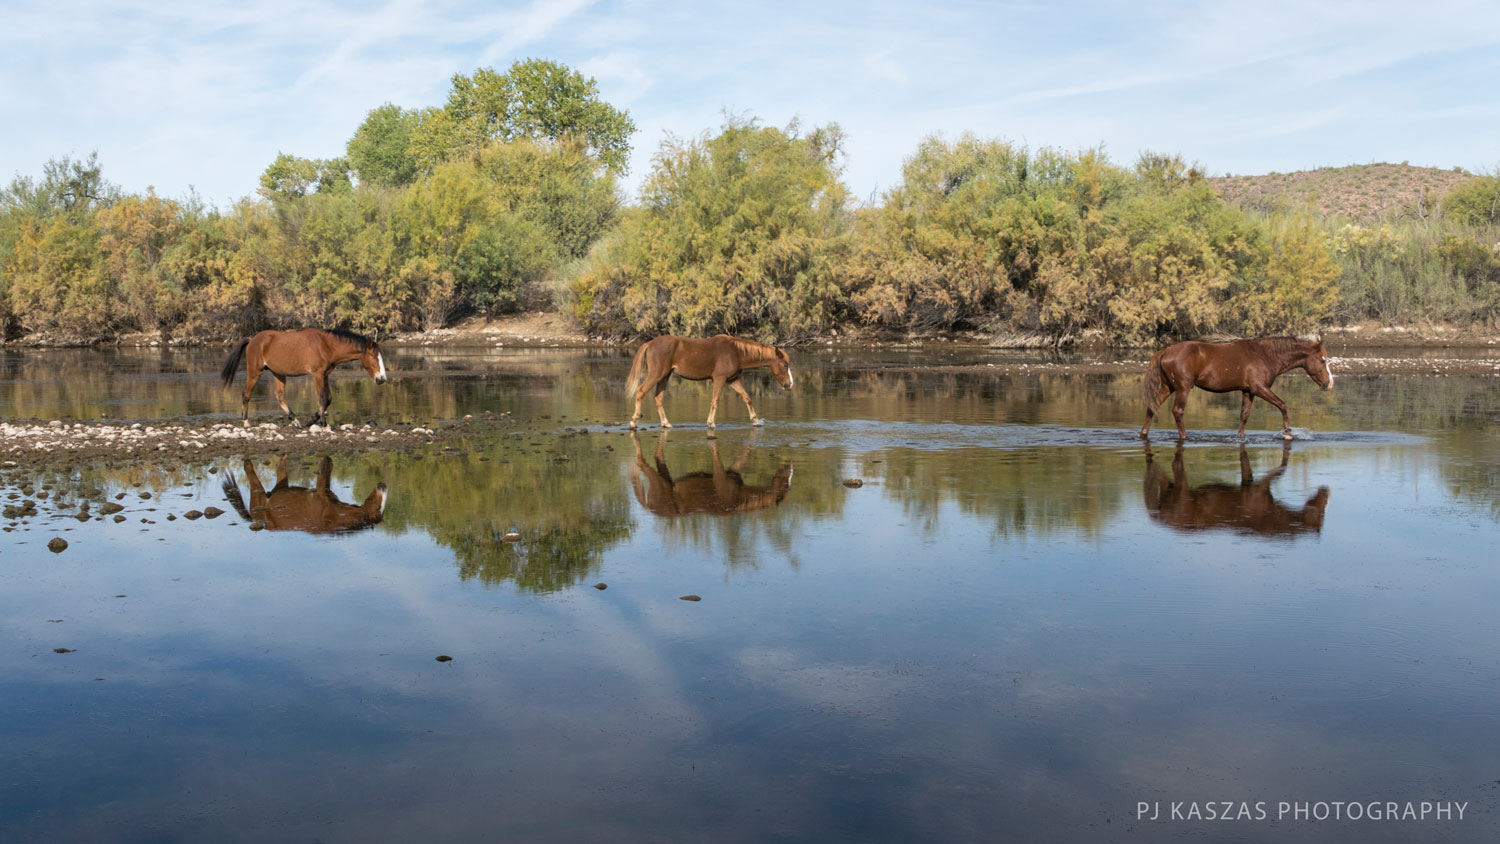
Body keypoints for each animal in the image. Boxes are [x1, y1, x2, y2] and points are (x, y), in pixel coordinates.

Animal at [220, 328, 387, 428]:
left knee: (280, 396)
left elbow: (328, 399)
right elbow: (322, 398)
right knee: (246, 394)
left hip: (278, 373)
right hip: (255, 372)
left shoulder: (325, 375)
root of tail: (252, 339)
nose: (382, 378)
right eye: (374, 357)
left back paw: (295, 420)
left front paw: (312, 419)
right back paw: (246, 422)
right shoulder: (317, 375)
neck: (325, 345)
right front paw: (324, 425)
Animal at [221, 455, 388, 534]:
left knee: (278, 469)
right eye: (377, 507)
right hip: (260, 496)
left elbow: (326, 469)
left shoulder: (324, 489)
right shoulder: (321, 489)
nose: (383, 486)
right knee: (252, 474)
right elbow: (325, 467)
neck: (331, 514)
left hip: (276, 490)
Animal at [625, 334, 793, 429]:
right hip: (657, 374)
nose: (789, 385)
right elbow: (715, 400)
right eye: (785, 365)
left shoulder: (732, 380)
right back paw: (634, 421)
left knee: (658, 397)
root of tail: (649, 343)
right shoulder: (719, 378)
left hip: (665, 375)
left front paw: (756, 421)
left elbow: (747, 397)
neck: (736, 352)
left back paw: (665, 423)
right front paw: (711, 423)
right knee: (641, 391)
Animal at [629, 431, 793, 518]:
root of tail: (650, 507)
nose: (789, 467)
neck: (738, 497)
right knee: (642, 464)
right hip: (659, 481)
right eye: (785, 485)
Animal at [1139, 336, 1332, 440]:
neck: (1265, 355)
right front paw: (1288, 434)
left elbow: (1244, 415)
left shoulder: (1248, 391)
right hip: (1183, 388)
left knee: (1151, 407)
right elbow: (1283, 405)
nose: (1328, 384)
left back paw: (1143, 434)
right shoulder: (1259, 388)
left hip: (1168, 387)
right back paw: (1185, 437)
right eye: (1322, 360)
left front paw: (1240, 437)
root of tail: (1165, 351)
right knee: (1178, 411)